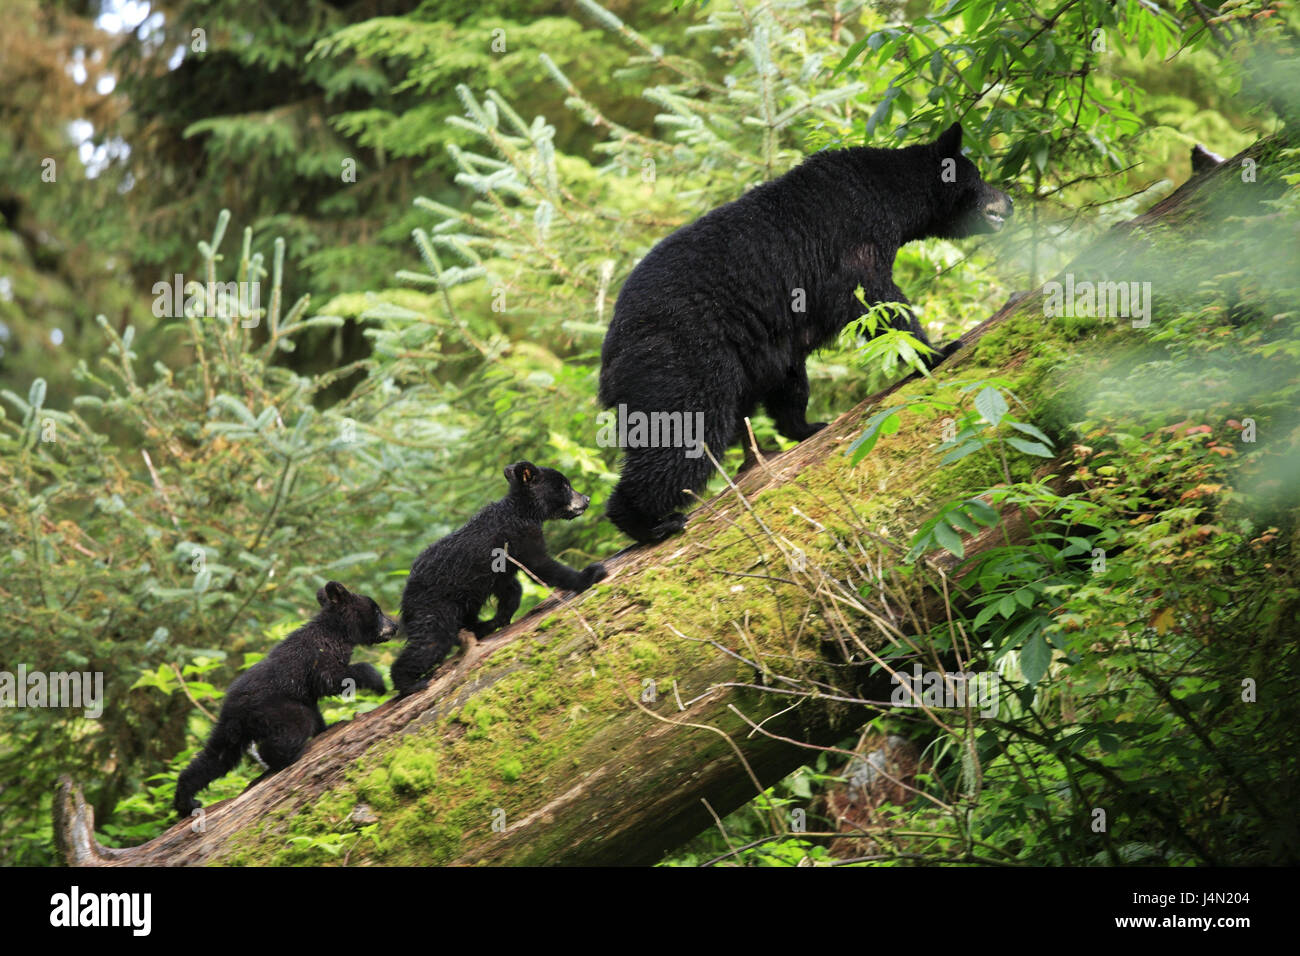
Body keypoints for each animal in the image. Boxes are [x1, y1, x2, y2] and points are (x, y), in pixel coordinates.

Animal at [173, 581, 397, 817]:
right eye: (377, 610)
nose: (394, 626)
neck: (336, 633)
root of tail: (238, 711)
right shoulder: (319, 658)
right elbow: (333, 679)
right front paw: (379, 682)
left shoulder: (306, 692)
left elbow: (316, 707)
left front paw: (327, 727)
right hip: (277, 710)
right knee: (294, 728)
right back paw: (282, 757)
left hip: (229, 730)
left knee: (215, 758)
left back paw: (186, 801)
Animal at [391, 461, 607, 696]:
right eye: (565, 486)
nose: (586, 499)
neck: (522, 512)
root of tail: (405, 596)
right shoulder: (519, 537)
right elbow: (542, 567)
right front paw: (591, 574)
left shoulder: (502, 563)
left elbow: (511, 587)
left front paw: (500, 617)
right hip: (435, 607)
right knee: (430, 642)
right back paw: (409, 683)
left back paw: (480, 627)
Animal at [598, 121, 1013, 543]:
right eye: (981, 177)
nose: (1010, 202)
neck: (889, 195)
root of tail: (611, 352)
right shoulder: (854, 242)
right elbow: (878, 303)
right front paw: (935, 351)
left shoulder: (779, 333)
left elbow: (790, 376)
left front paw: (803, 425)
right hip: (683, 359)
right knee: (681, 431)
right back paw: (646, 522)